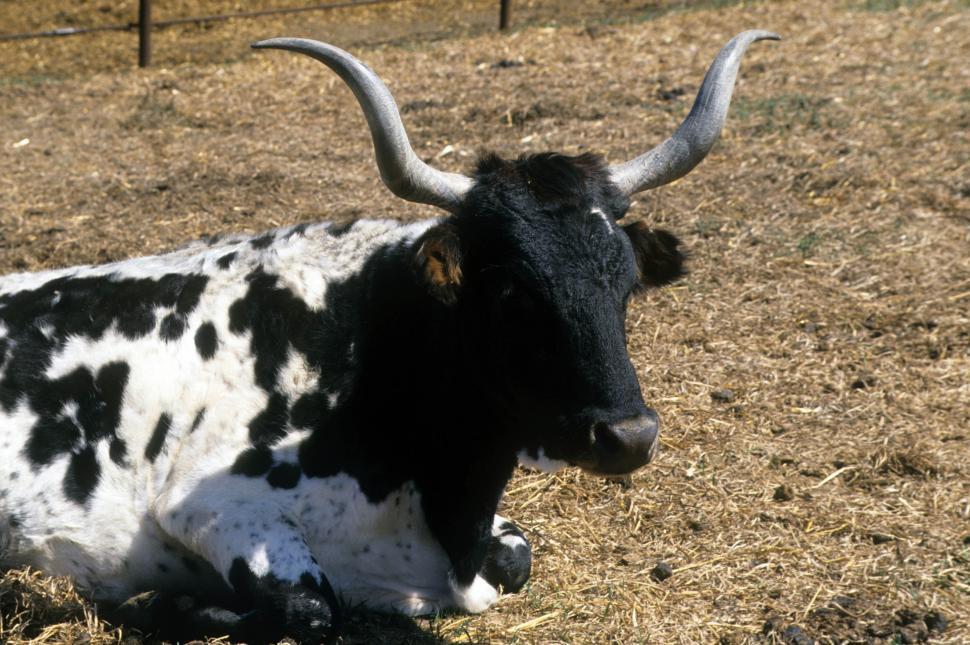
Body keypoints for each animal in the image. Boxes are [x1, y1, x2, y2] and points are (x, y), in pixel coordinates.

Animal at [0, 30, 777, 643]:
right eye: (512, 290)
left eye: (625, 284)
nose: (629, 437)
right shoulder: (213, 507)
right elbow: (310, 609)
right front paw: (156, 601)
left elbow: (518, 557)